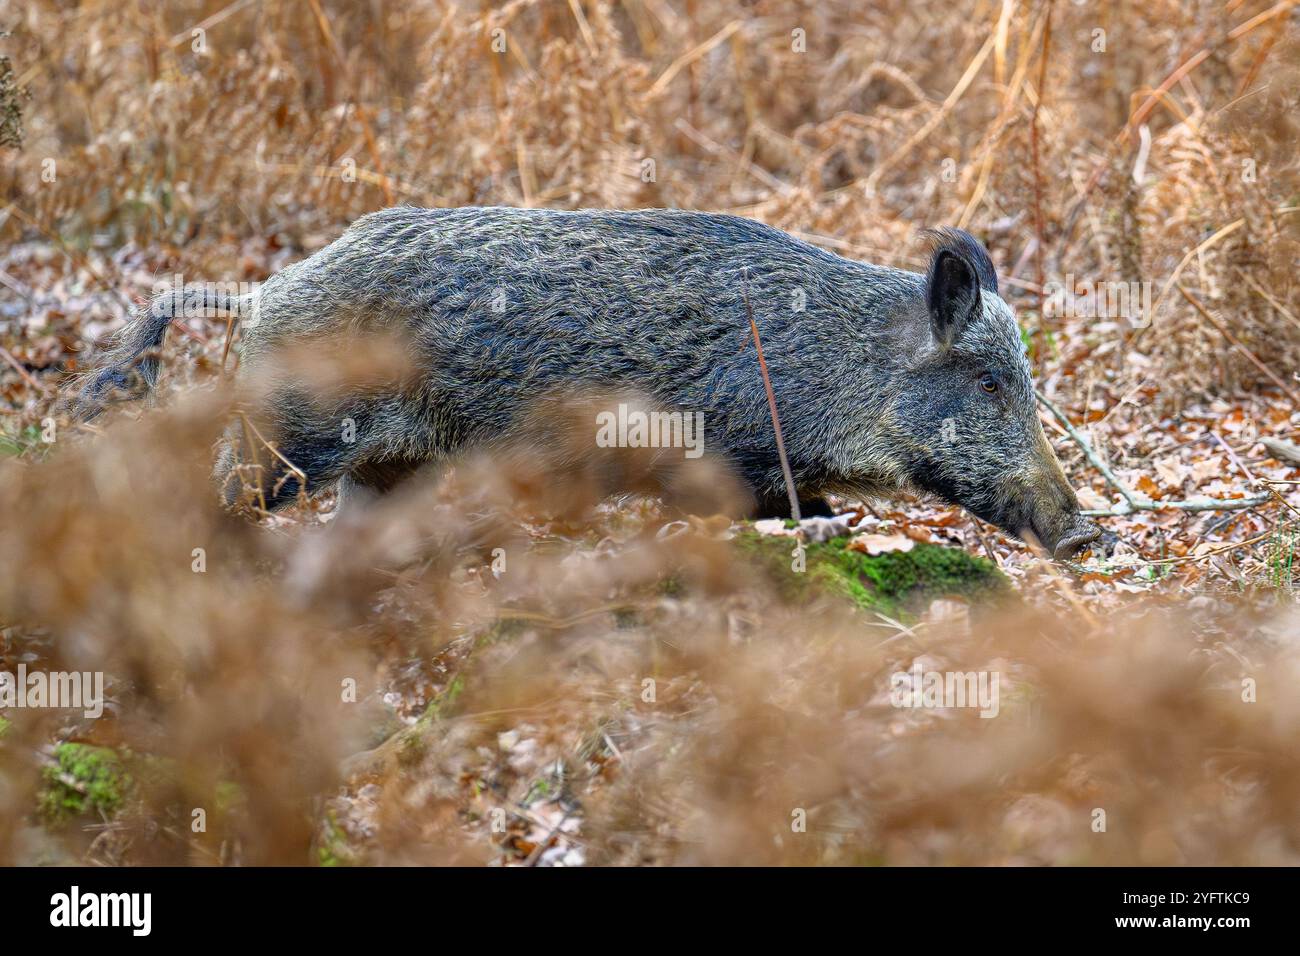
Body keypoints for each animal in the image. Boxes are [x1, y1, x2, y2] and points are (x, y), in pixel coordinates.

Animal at [77, 206, 1101, 559]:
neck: (837, 363)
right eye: (989, 386)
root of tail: (262, 292)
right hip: (294, 433)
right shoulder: (732, 451)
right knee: (222, 497)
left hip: (388, 464)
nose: (1088, 531)